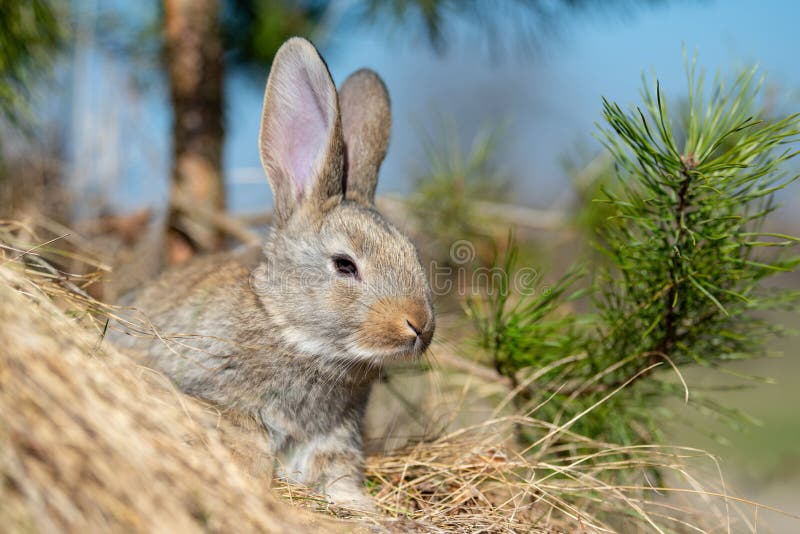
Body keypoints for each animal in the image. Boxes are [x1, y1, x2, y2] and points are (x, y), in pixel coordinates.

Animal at [109, 37, 435, 511]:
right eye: (344, 265)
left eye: (410, 252)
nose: (419, 325)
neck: (291, 333)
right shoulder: (222, 398)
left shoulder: (333, 444)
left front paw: (365, 509)